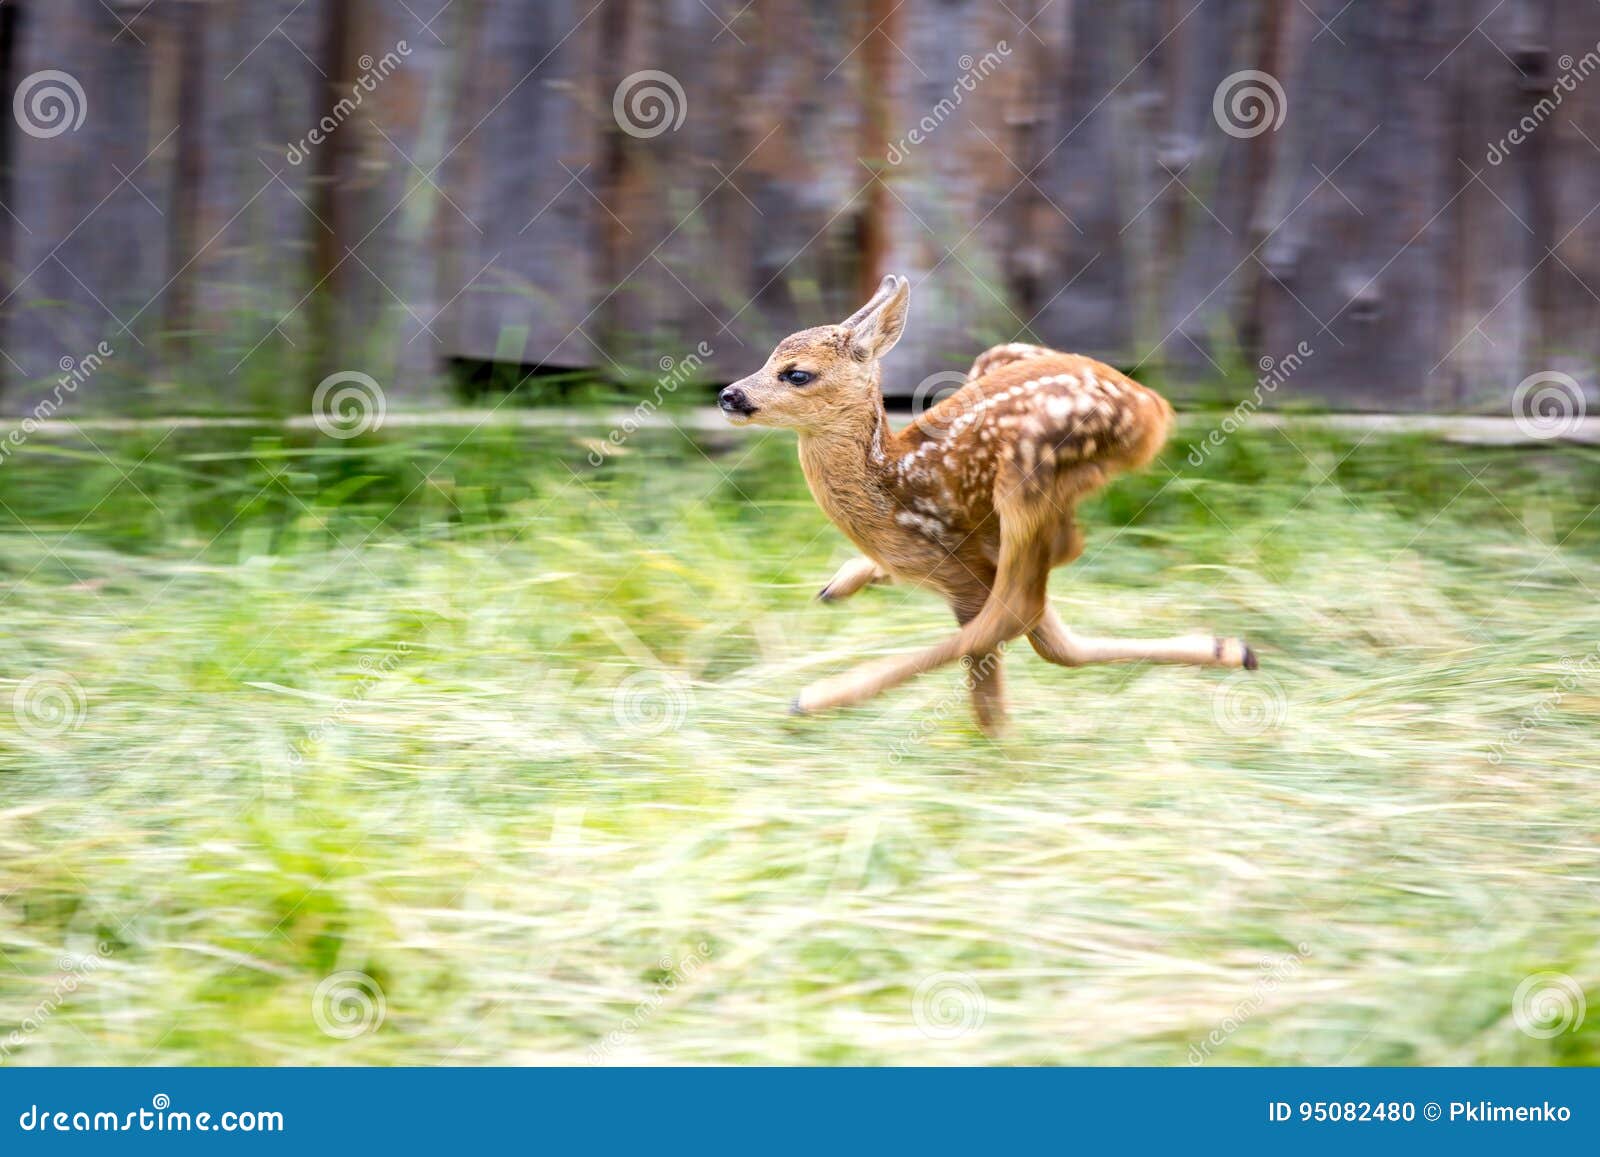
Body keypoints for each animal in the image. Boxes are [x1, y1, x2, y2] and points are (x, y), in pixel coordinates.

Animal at [718, 274, 1257, 734]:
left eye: (797, 374)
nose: (729, 395)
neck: (889, 485)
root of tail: (1154, 407)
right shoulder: (976, 561)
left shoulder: (961, 568)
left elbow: (990, 652)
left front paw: (991, 751)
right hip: (1006, 395)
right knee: (1051, 614)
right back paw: (1233, 648)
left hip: (1027, 468)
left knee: (1018, 611)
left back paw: (815, 697)